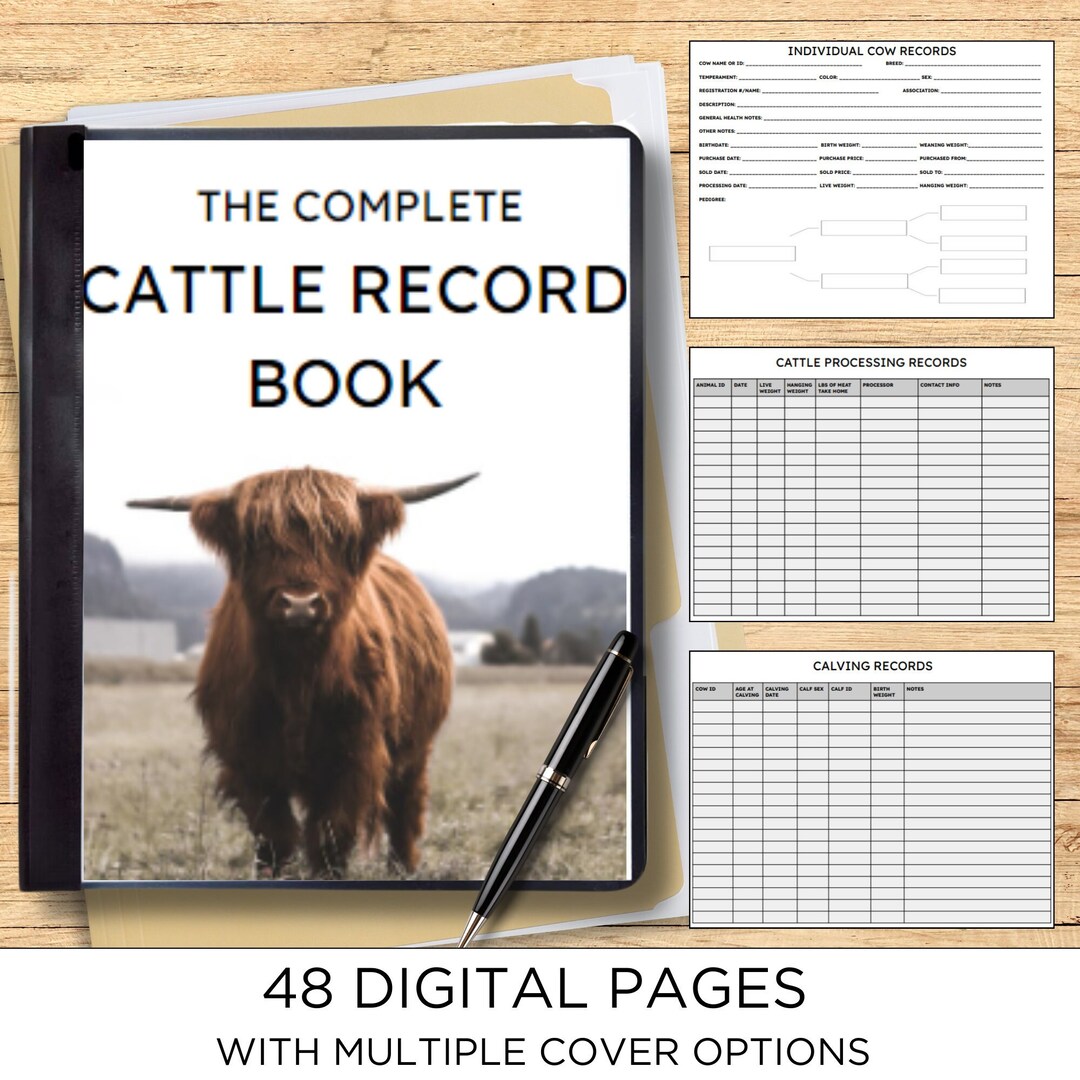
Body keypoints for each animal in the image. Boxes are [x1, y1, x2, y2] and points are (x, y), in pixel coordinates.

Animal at [128, 466, 476, 880]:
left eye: (338, 536)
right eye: (258, 537)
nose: (299, 604)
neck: (297, 676)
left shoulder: (352, 754)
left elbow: (331, 834)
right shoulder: (247, 758)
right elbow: (274, 835)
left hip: (417, 746)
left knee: (406, 807)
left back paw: (402, 869)